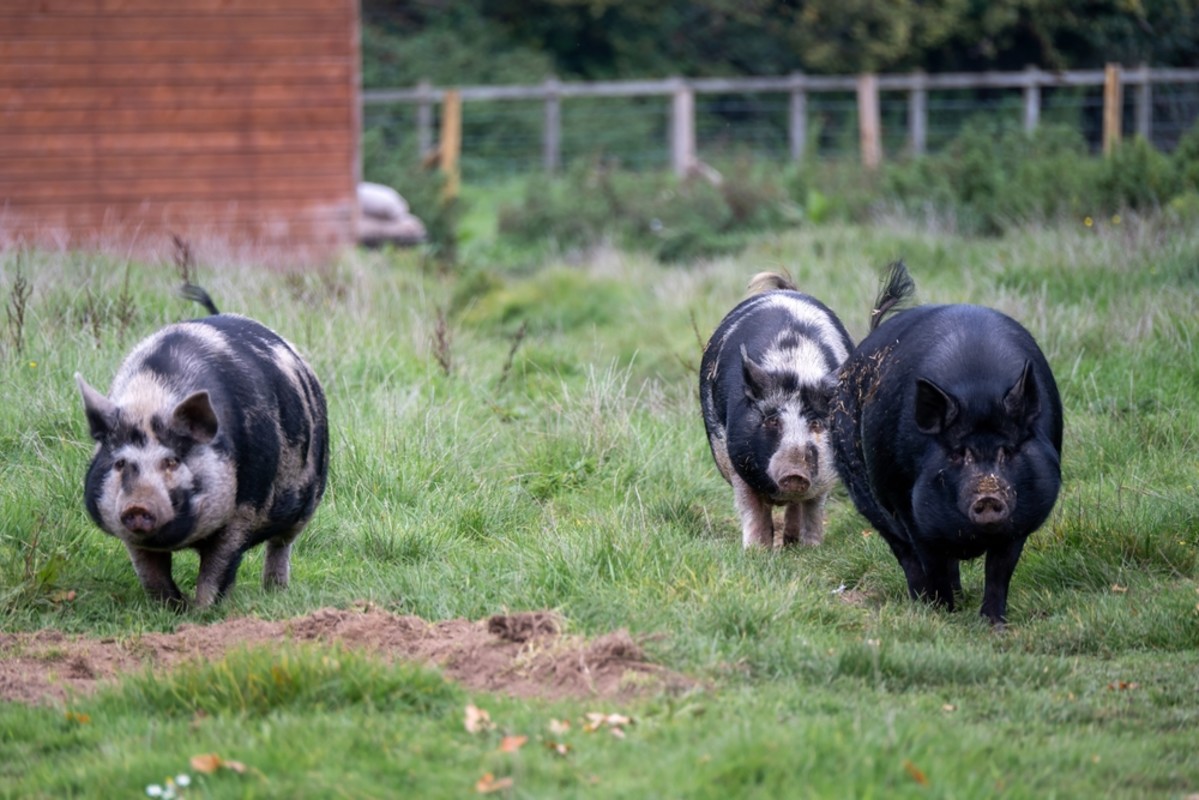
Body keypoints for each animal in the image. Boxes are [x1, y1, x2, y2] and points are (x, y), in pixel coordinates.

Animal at [75, 286, 329, 608]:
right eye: (120, 463)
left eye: (171, 461)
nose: (138, 506)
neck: (151, 400)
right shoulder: (125, 527)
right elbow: (150, 572)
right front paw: (169, 608)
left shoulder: (244, 509)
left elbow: (217, 567)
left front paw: (203, 610)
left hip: (310, 493)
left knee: (282, 543)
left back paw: (275, 591)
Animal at [700, 272, 854, 548]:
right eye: (772, 421)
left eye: (816, 424)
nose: (795, 472)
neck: (794, 365)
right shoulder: (733, 456)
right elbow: (752, 508)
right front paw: (756, 550)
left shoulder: (826, 474)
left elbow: (813, 508)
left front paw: (811, 547)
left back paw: (792, 541)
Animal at [830, 262, 1063, 625]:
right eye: (957, 453)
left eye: (1007, 451)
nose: (988, 496)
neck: (979, 390)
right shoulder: (909, 507)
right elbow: (931, 561)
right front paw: (942, 614)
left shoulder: (1023, 517)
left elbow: (1000, 570)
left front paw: (993, 623)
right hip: (865, 493)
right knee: (905, 554)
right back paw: (922, 602)